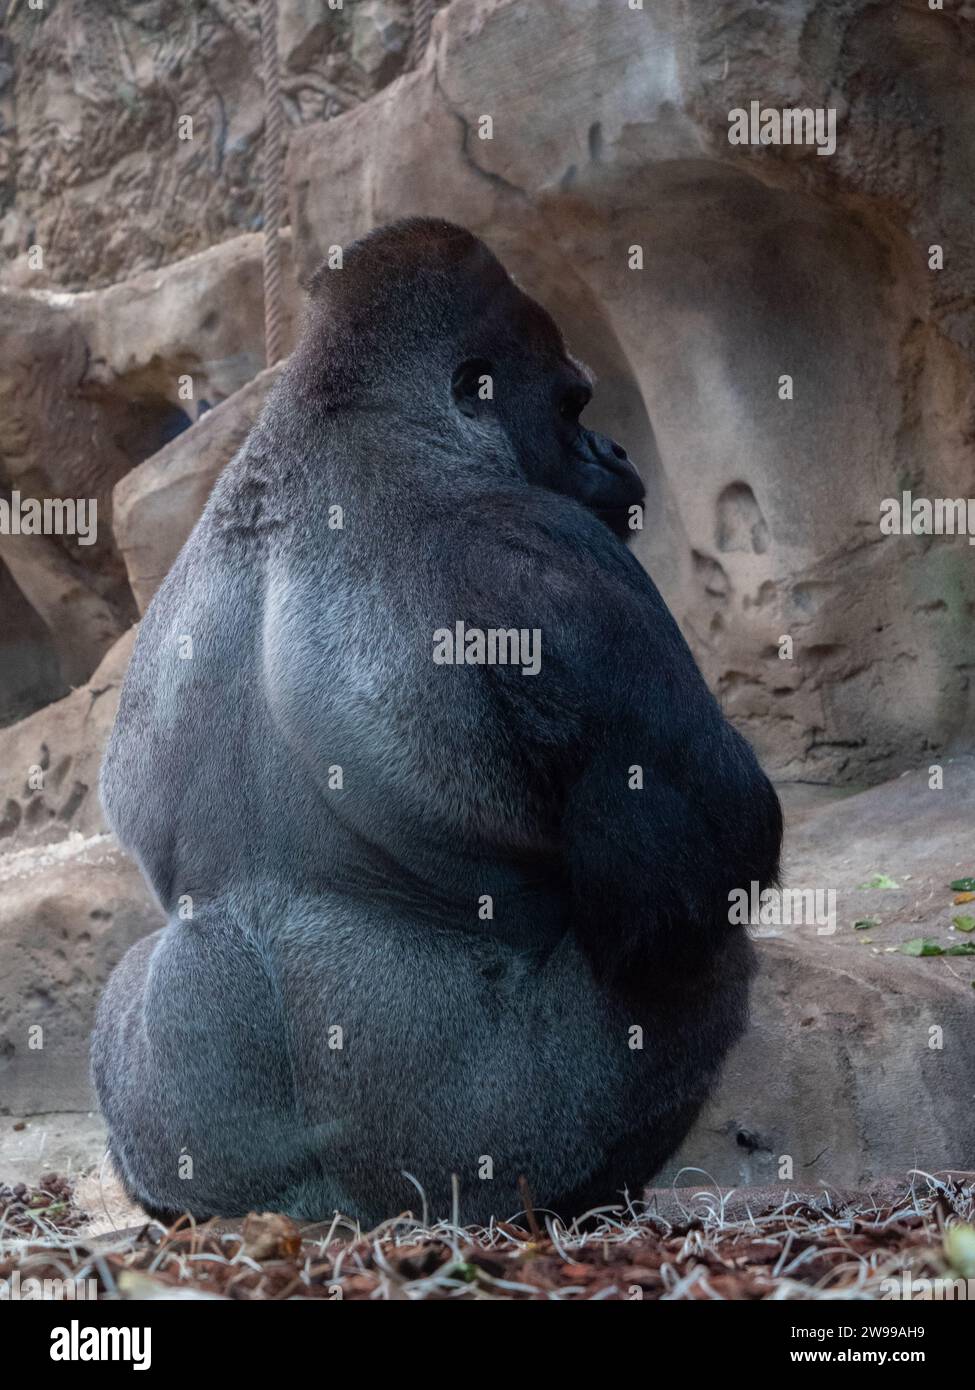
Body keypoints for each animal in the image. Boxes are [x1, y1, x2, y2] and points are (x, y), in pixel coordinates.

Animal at [92, 218, 782, 1227]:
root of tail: (336, 1213)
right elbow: (700, 866)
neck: (339, 423)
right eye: (571, 403)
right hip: (479, 1163)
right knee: (696, 966)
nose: (614, 451)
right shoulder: (547, 550)